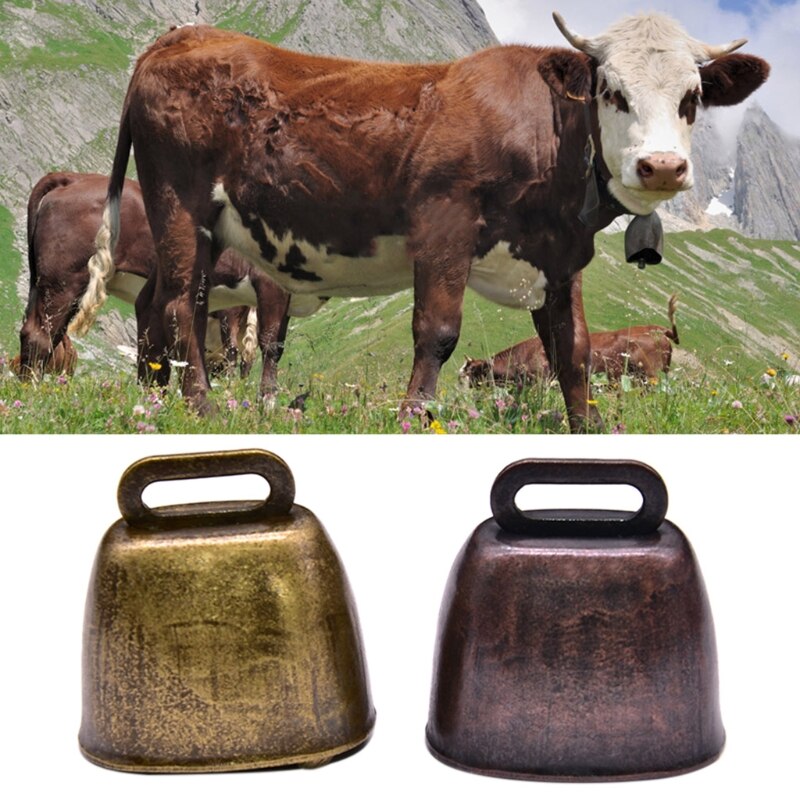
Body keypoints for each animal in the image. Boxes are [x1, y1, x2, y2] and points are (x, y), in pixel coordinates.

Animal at [17, 172, 291, 397]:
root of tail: (73, 178)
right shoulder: (235, 308)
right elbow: (242, 352)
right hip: (63, 281)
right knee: (40, 335)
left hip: (47, 284)